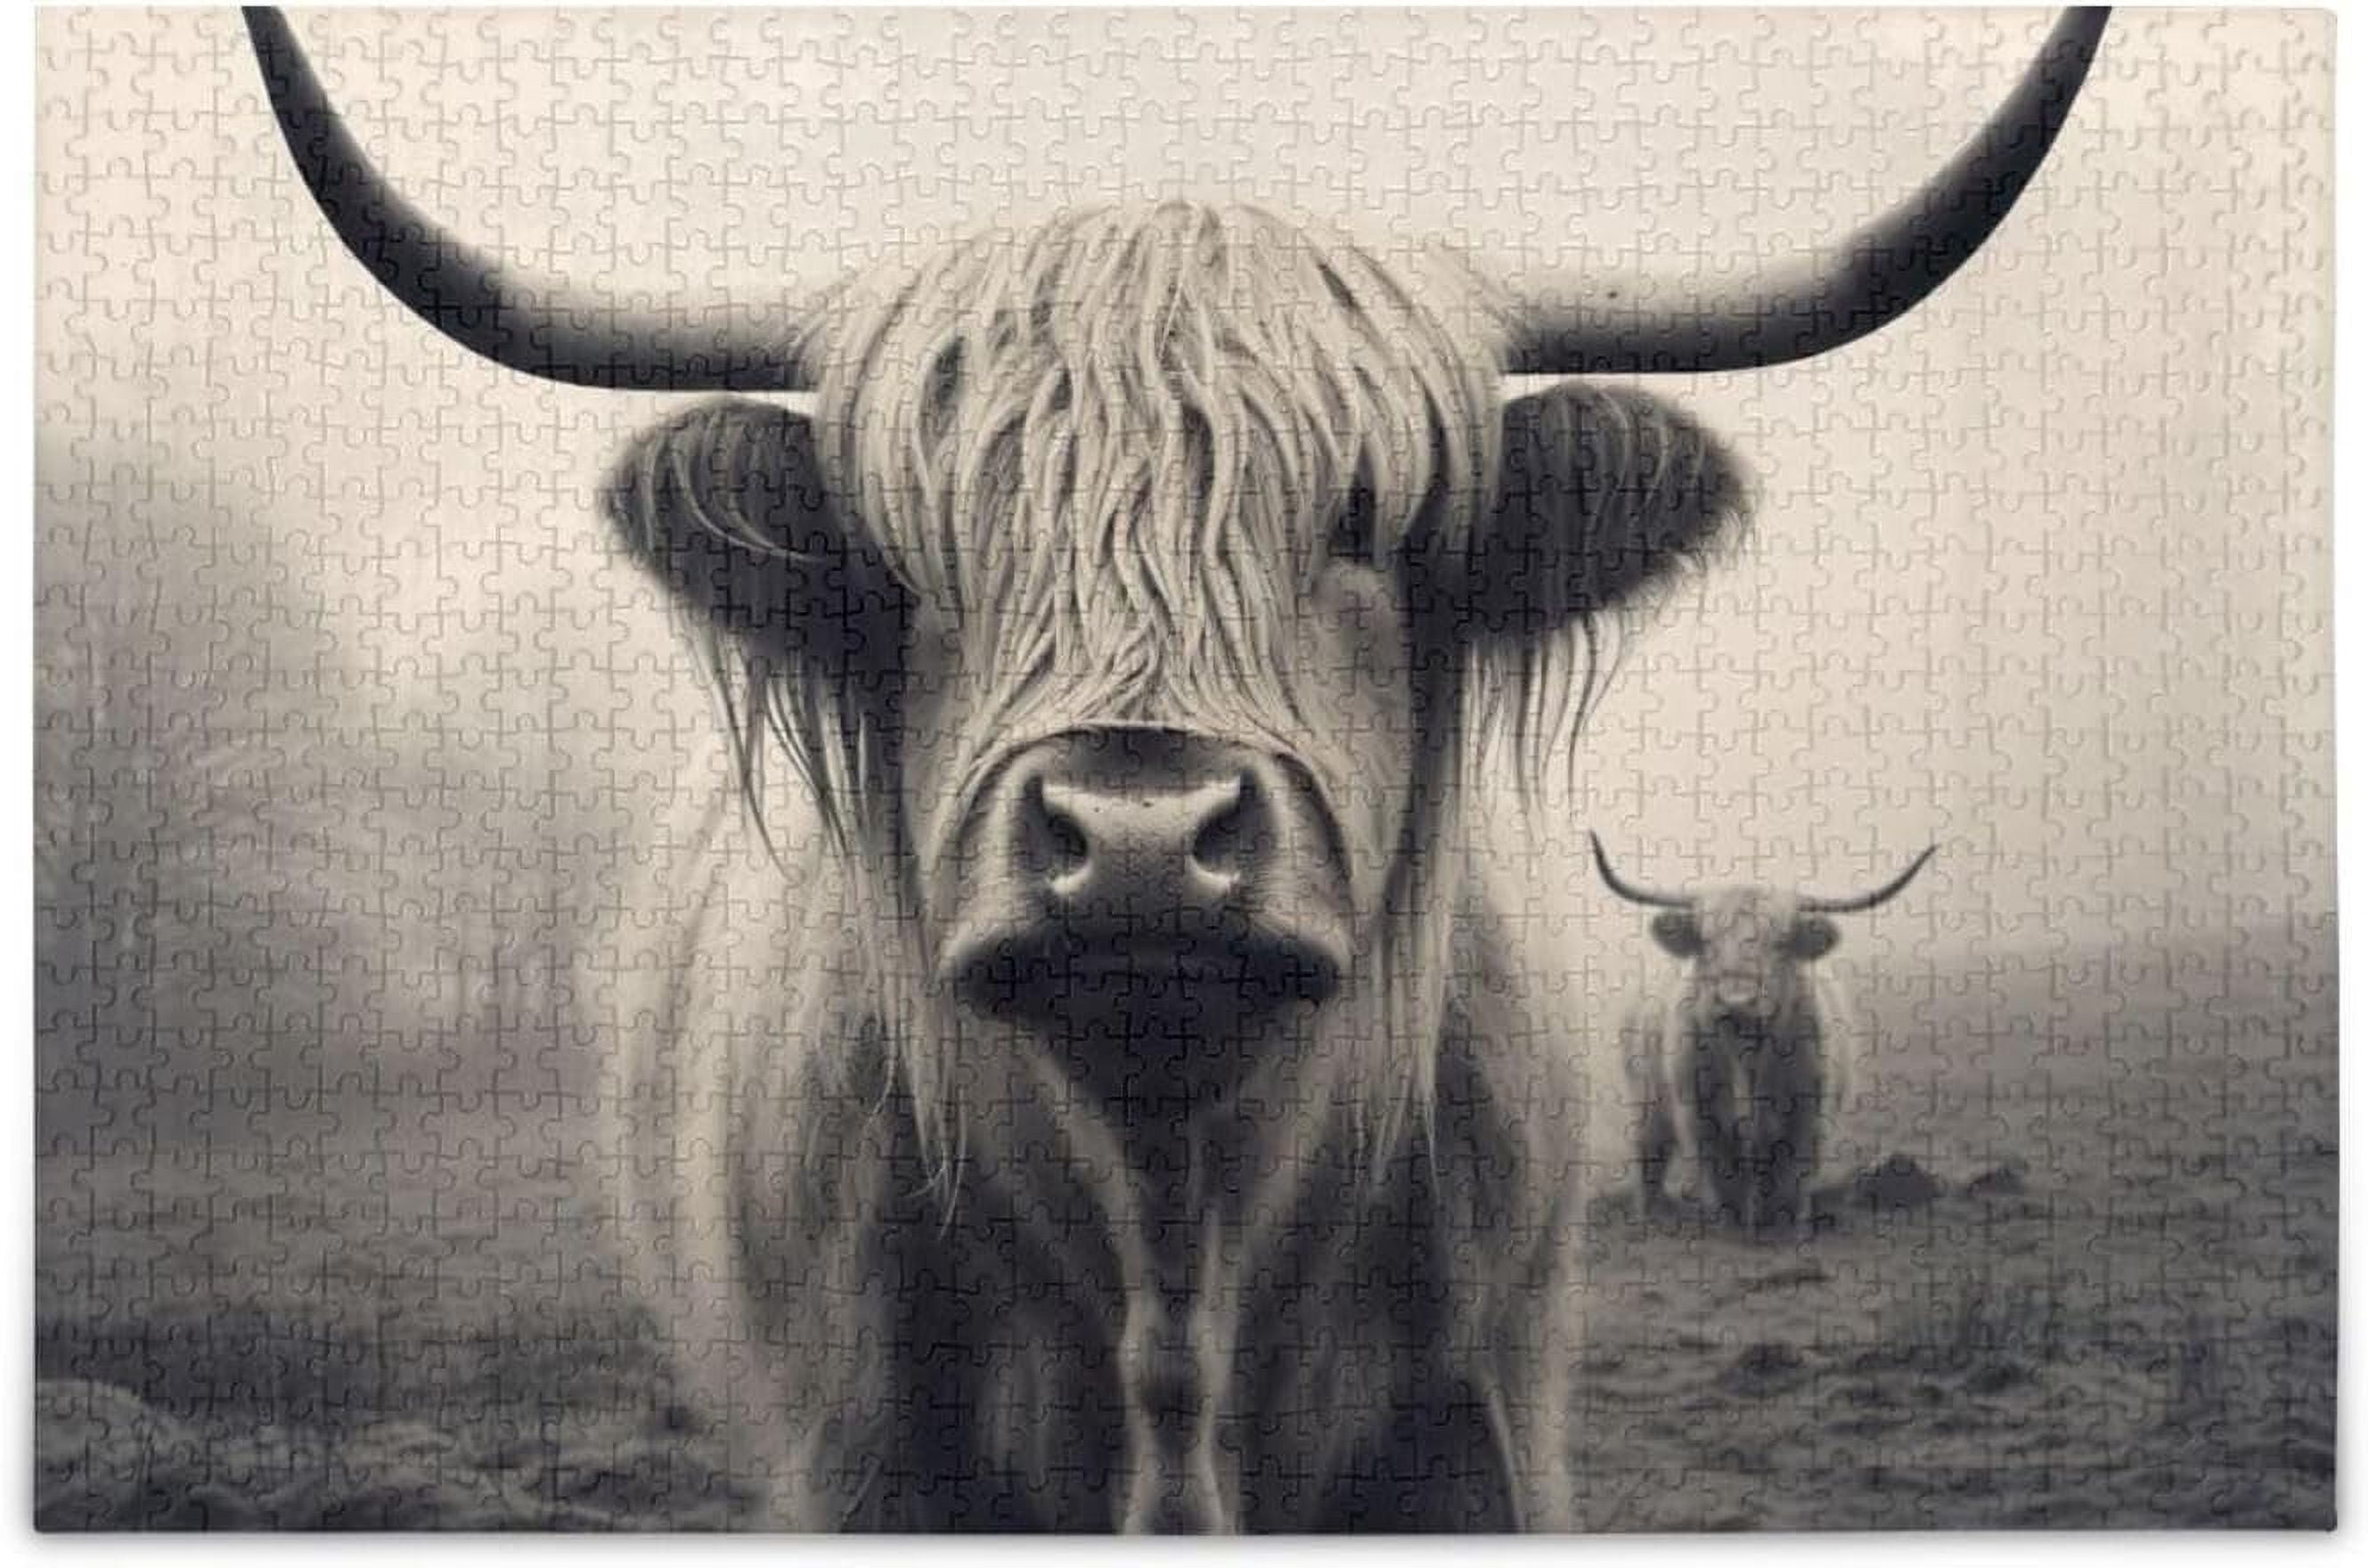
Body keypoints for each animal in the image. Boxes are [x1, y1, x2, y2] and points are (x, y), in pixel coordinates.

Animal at [1595, 834, 1938, 1239]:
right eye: (1707, 941)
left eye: (1779, 943)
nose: (1737, 1000)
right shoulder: (1695, 1109)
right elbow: (1717, 1175)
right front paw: (1729, 1224)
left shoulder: (1810, 1109)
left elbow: (1797, 1174)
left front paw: (1793, 1227)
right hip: (1646, 1102)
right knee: (1649, 1160)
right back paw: (1646, 1216)